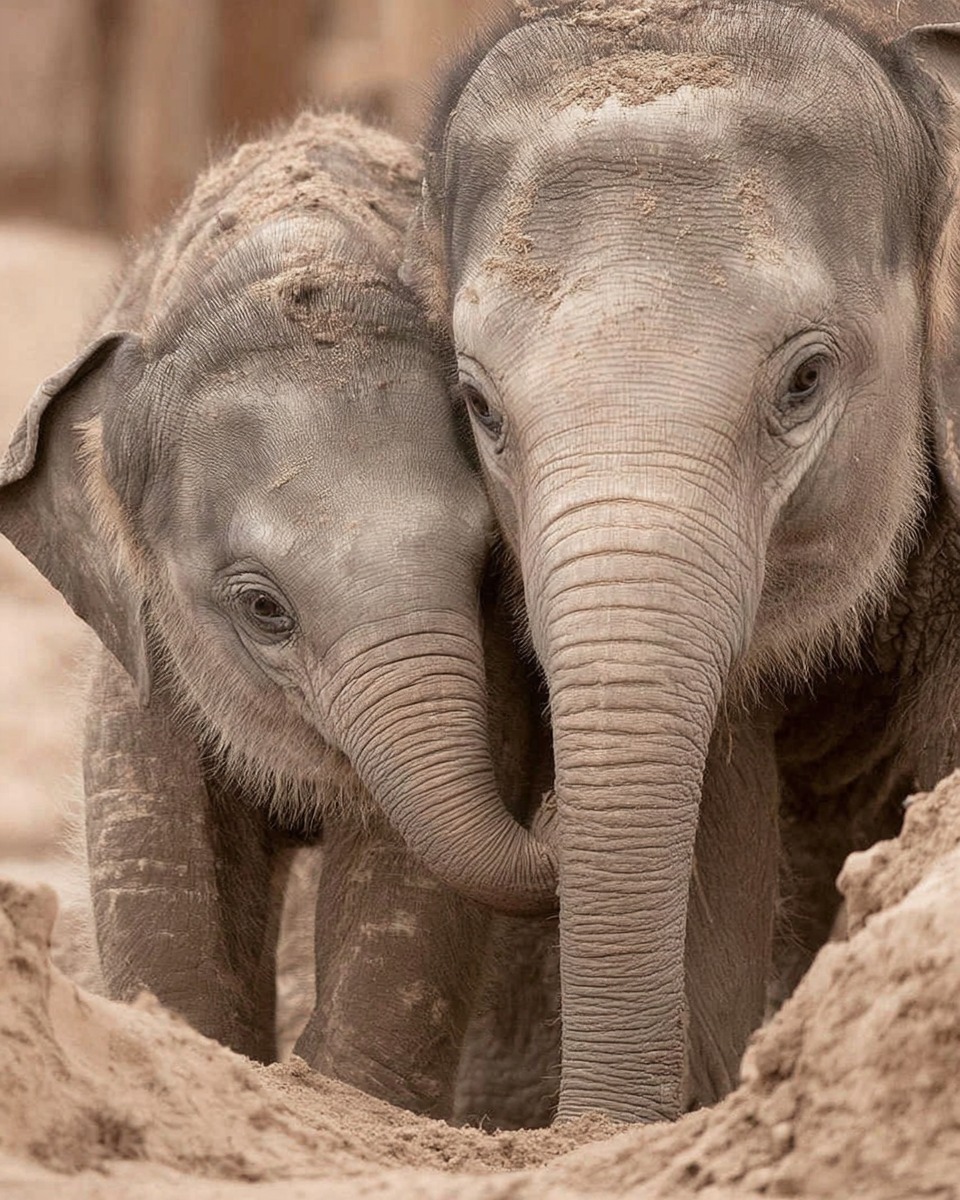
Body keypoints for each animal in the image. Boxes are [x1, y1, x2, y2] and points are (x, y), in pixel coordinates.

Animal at [0, 111, 558, 1115]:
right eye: (262, 607)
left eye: (489, 565)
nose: (562, 806)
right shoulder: (141, 659)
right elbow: (155, 838)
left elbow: (414, 877)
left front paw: (347, 1095)